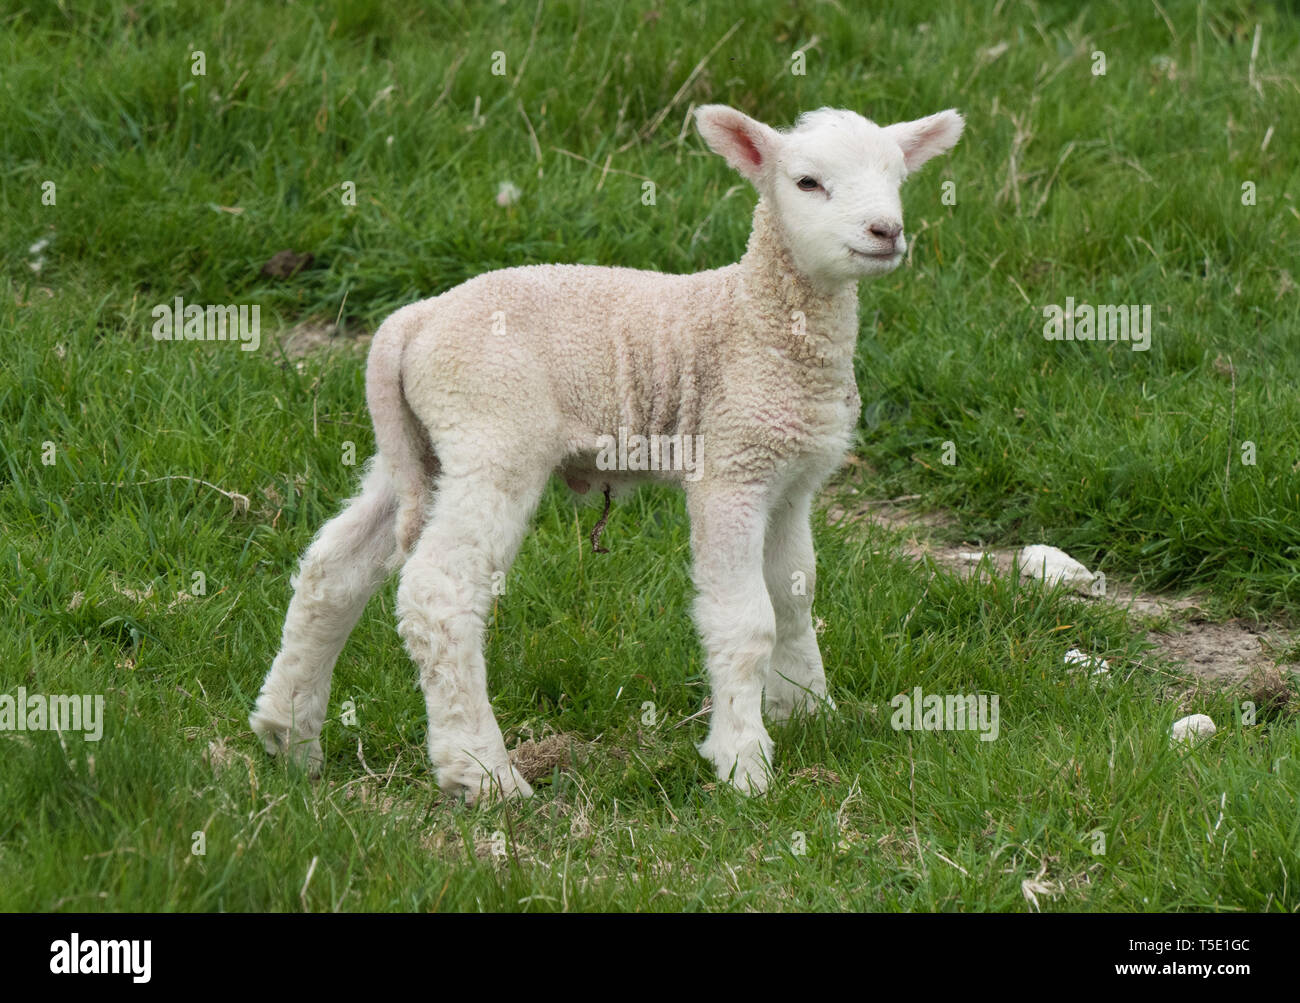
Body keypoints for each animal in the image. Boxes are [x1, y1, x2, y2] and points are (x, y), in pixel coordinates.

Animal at [249, 103, 964, 802]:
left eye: (897, 177)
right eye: (807, 183)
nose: (886, 231)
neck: (755, 318)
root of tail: (411, 323)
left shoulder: (789, 480)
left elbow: (794, 595)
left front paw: (809, 711)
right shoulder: (731, 467)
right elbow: (745, 620)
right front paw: (744, 761)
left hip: (421, 448)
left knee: (335, 566)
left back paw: (289, 735)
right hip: (491, 430)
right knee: (439, 591)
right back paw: (483, 774)